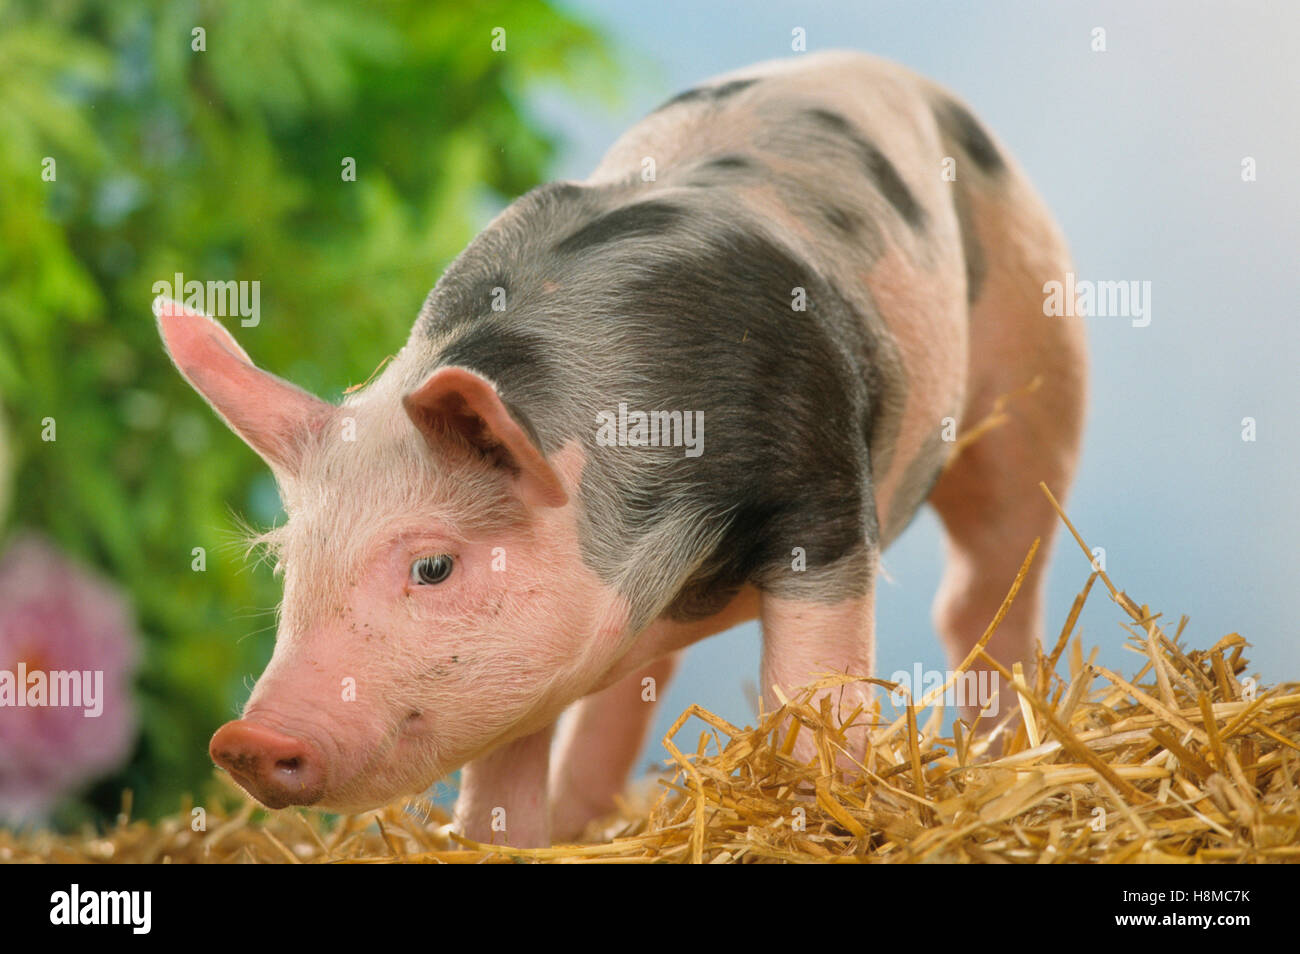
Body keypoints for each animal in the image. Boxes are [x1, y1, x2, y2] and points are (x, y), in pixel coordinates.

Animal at [157, 50, 1086, 847]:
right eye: (289, 563)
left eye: (433, 566)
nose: (243, 740)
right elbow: (501, 788)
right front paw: (514, 838)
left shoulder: (822, 503)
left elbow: (813, 685)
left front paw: (816, 805)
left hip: (1039, 363)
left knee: (988, 577)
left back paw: (1007, 751)